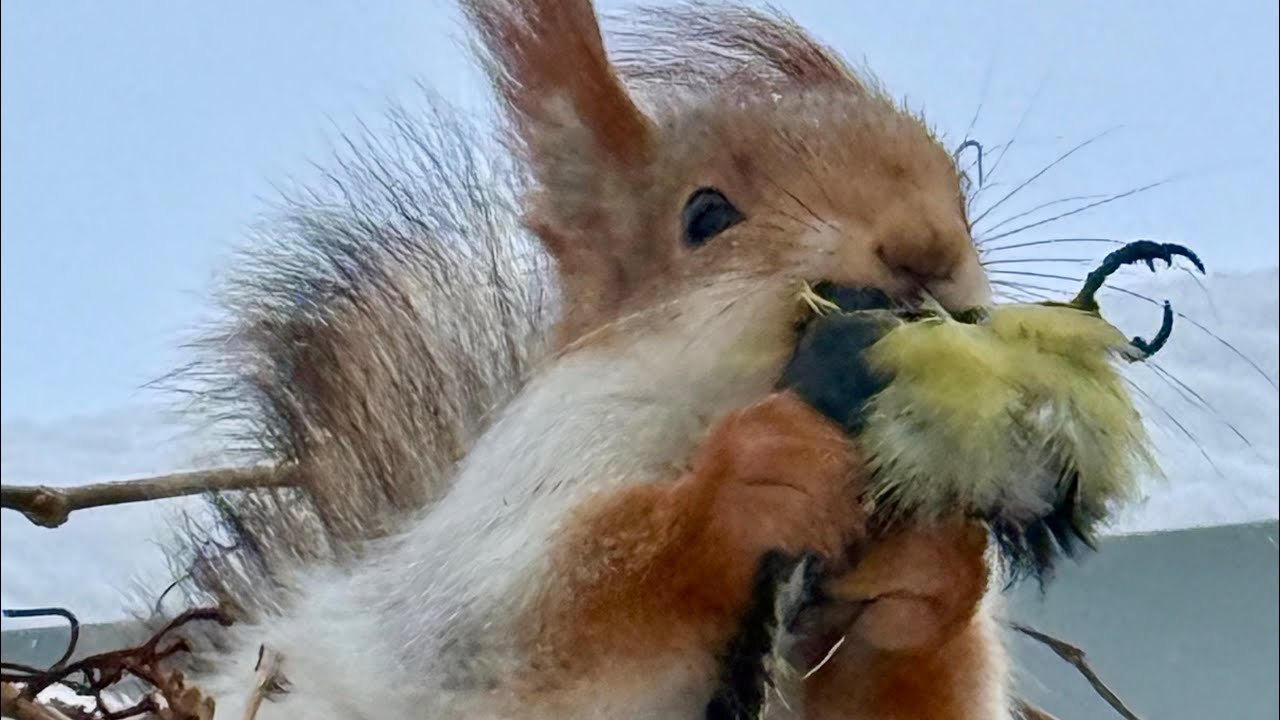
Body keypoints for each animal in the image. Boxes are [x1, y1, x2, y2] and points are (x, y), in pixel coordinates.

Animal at [157, 1, 1013, 718]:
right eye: (706, 216)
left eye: (958, 189)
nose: (926, 248)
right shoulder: (490, 552)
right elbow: (543, 619)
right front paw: (750, 479)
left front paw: (931, 574)